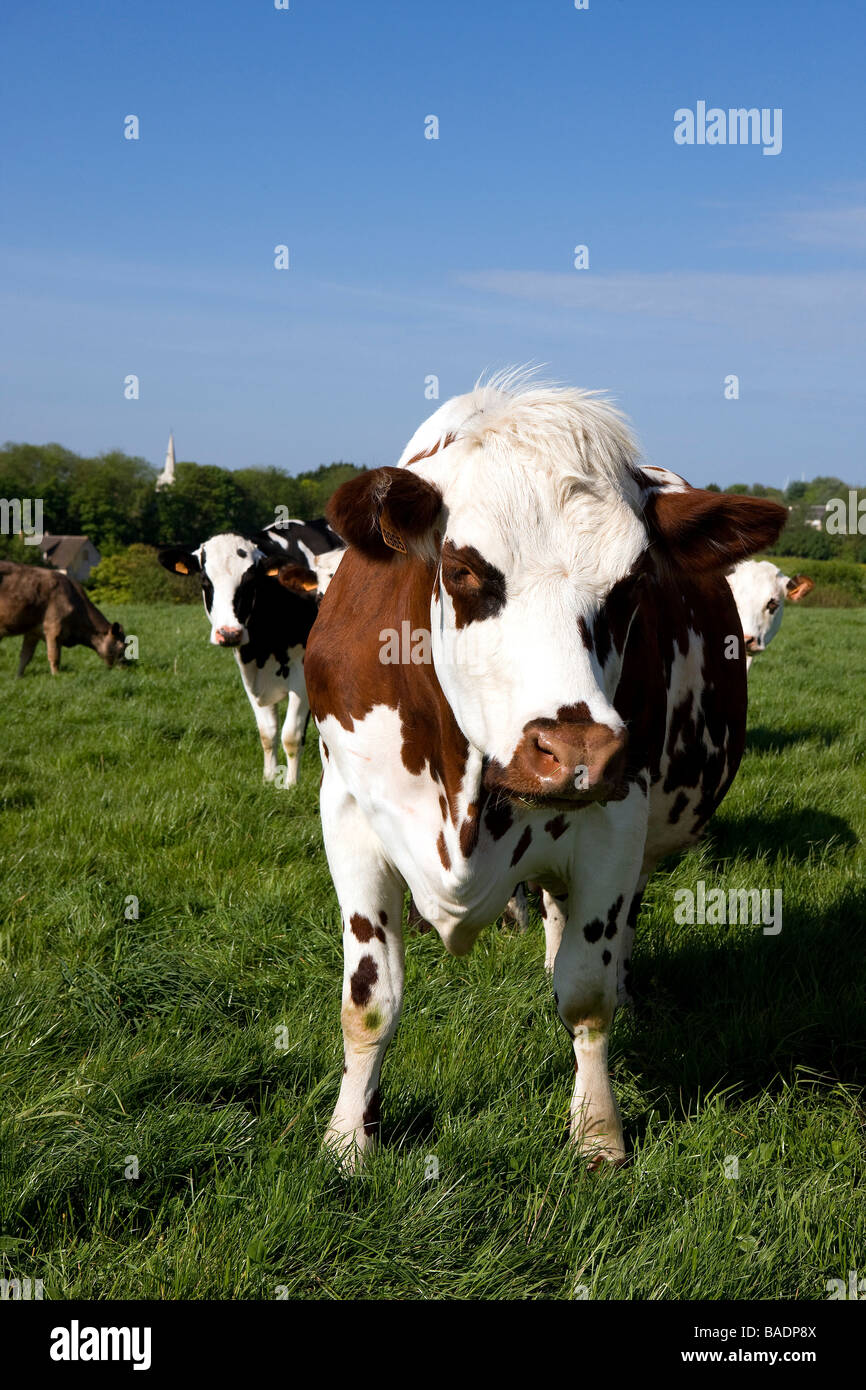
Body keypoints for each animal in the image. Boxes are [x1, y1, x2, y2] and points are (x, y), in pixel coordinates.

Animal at [159, 518, 344, 786]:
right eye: (205, 582)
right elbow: (267, 732)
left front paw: (291, 784)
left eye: (248, 582)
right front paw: (268, 779)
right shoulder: (249, 671)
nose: (229, 634)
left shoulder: (302, 673)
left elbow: (291, 734)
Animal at [303, 379, 787, 1171]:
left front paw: (598, 1133)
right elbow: (369, 1005)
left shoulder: (617, 819)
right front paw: (348, 1141)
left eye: (633, 584)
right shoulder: (348, 815)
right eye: (463, 570)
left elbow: (585, 993)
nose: (576, 749)